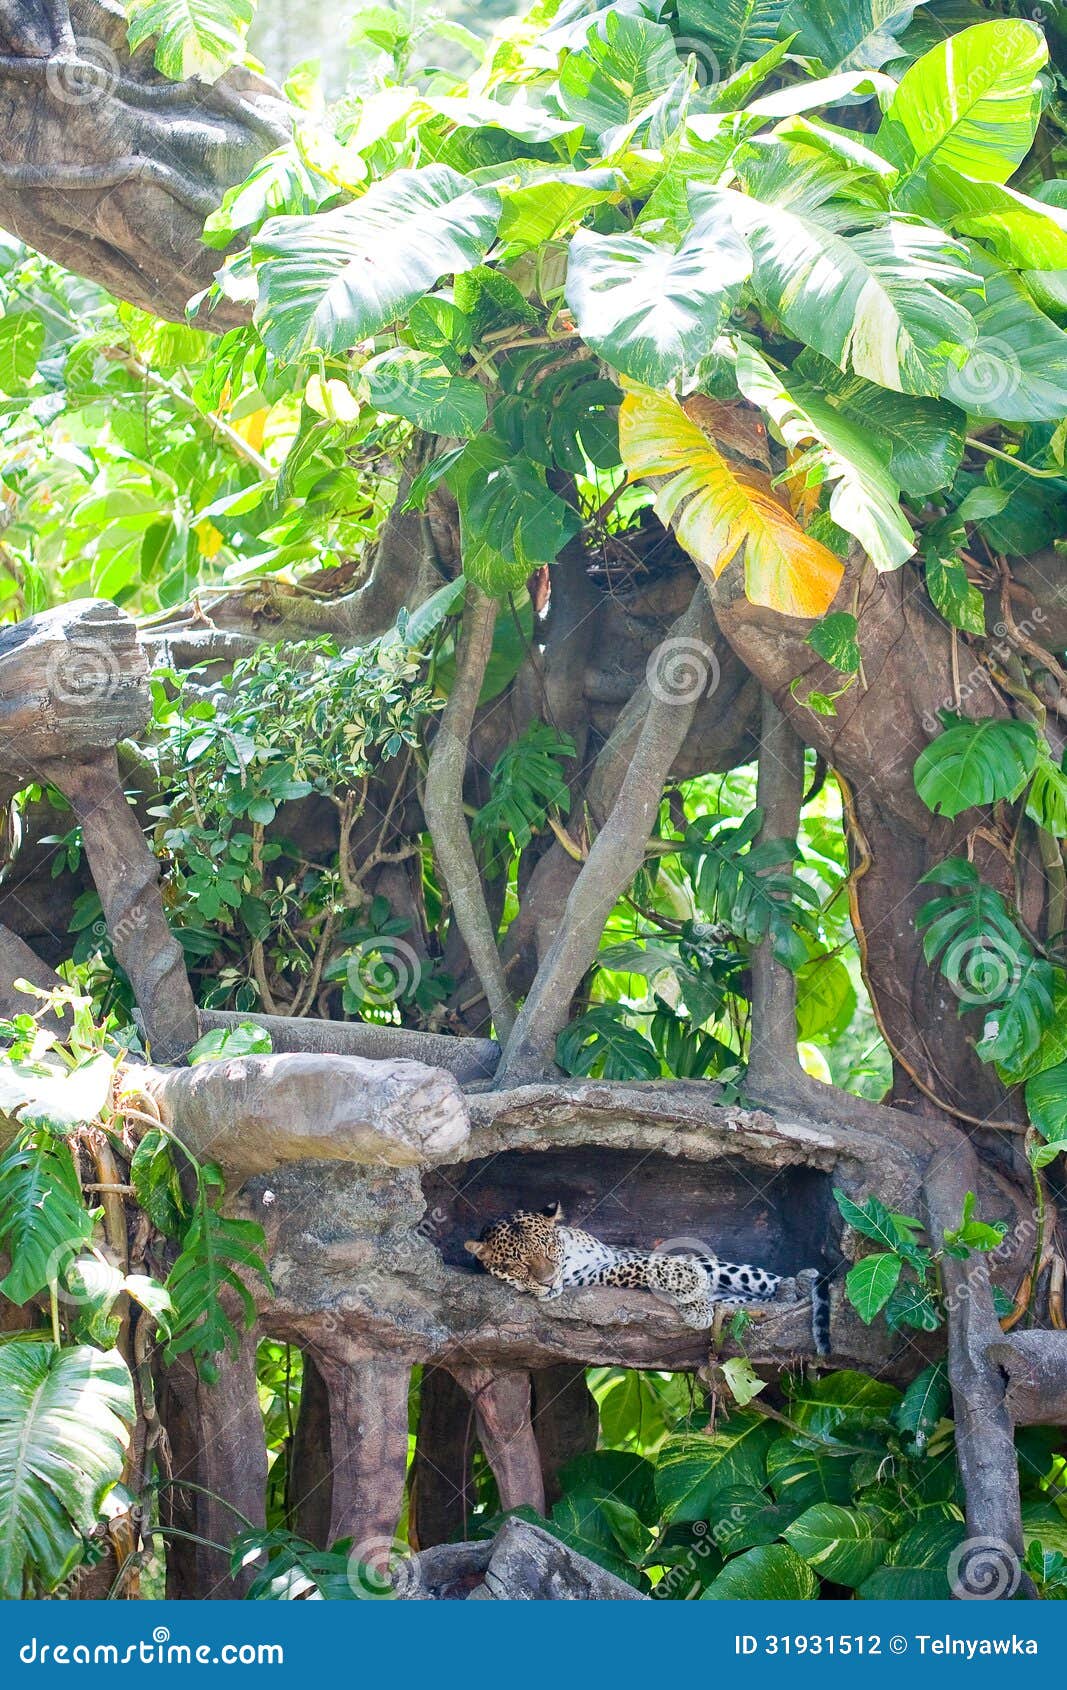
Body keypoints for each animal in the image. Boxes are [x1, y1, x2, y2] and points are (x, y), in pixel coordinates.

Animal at [465, 1201, 829, 1353]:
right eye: (517, 1264)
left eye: (548, 1247)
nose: (549, 1281)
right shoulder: (595, 1275)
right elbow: (635, 1270)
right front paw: (696, 1306)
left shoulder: (620, 1255)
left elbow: (655, 1263)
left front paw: (693, 1296)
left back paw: (793, 1285)